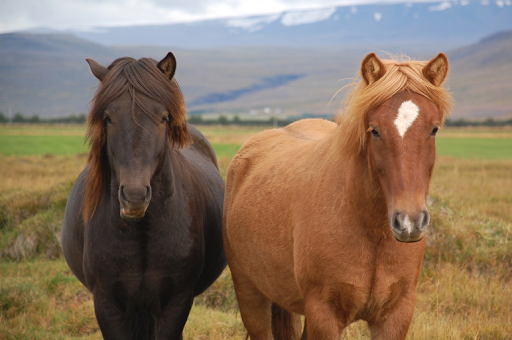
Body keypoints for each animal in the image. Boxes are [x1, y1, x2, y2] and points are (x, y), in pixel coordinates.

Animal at [224, 51, 452, 338]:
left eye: (433, 129)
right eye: (375, 130)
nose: (409, 222)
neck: (371, 230)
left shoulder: (395, 316)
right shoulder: (325, 315)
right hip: (251, 295)